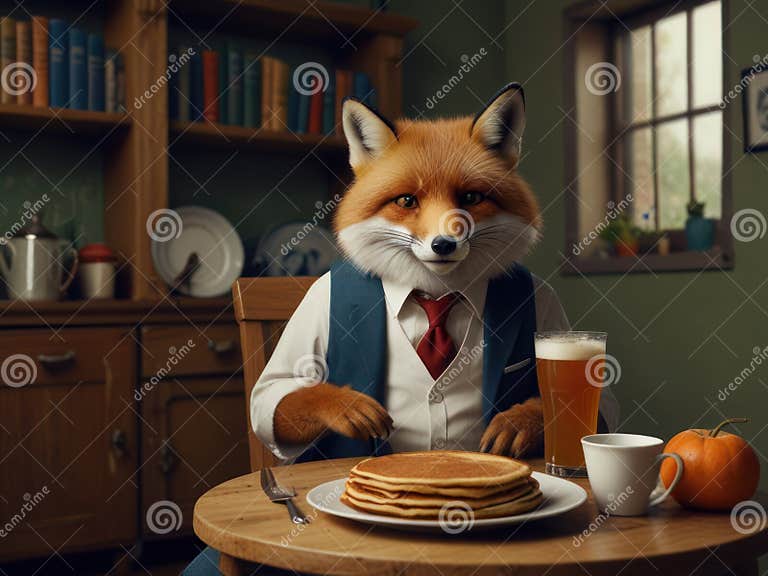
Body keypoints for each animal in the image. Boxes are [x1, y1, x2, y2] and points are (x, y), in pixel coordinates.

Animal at [271, 82, 549, 458]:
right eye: (406, 201)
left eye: (471, 197)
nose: (443, 244)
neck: (434, 293)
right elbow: (285, 395)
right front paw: (346, 404)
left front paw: (519, 421)